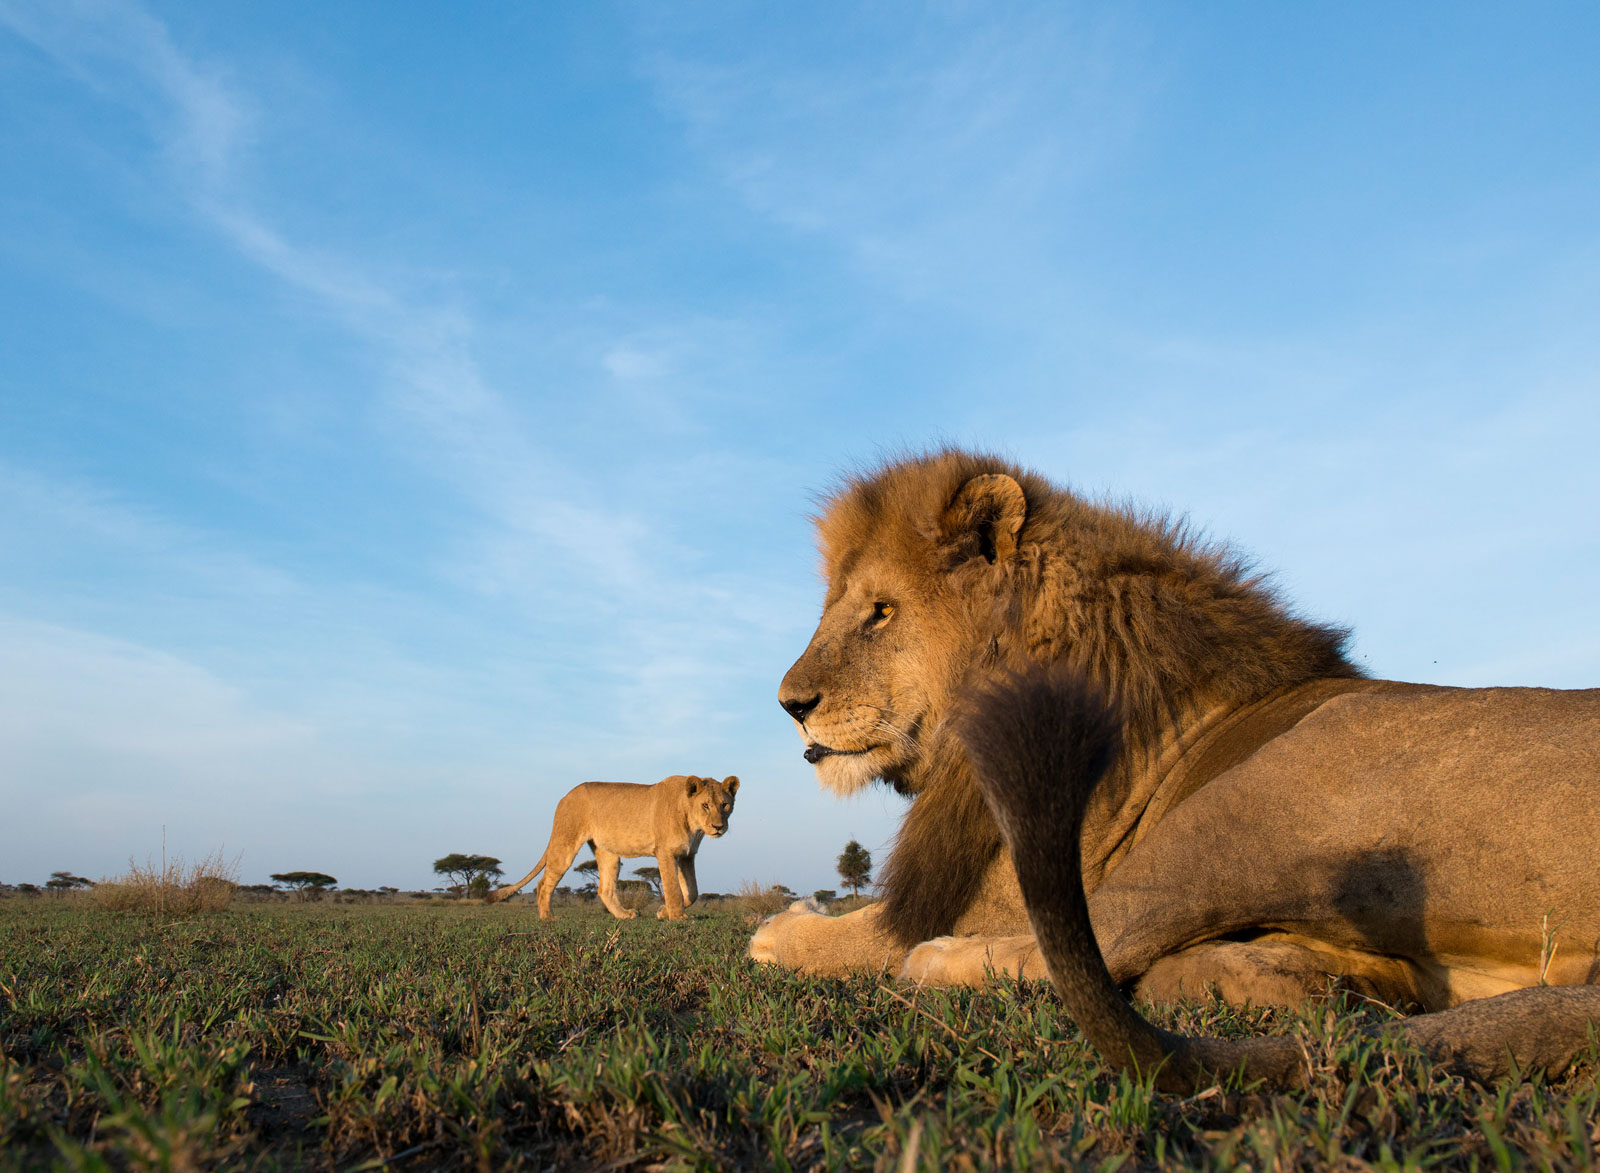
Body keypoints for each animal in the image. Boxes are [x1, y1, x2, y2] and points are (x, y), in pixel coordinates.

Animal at [488, 774, 739, 920]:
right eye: (705, 805)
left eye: (724, 805)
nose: (718, 827)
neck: (693, 824)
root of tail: (565, 797)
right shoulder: (665, 853)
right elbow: (673, 889)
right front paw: (677, 917)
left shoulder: (687, 855)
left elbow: (692, 892)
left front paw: (662, 912)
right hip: (565, 842)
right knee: (543, 882)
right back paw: (548, 917)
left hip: (608, 853)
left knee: (604, 889)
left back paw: (624, 915)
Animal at [749, 449, 1600, 1062]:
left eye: (880, 611)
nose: (791, 703)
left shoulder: (1004, 877)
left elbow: (863, 934)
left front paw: (784, 928)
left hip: (1257, 795)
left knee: (1100, 937)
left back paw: (934, 960)